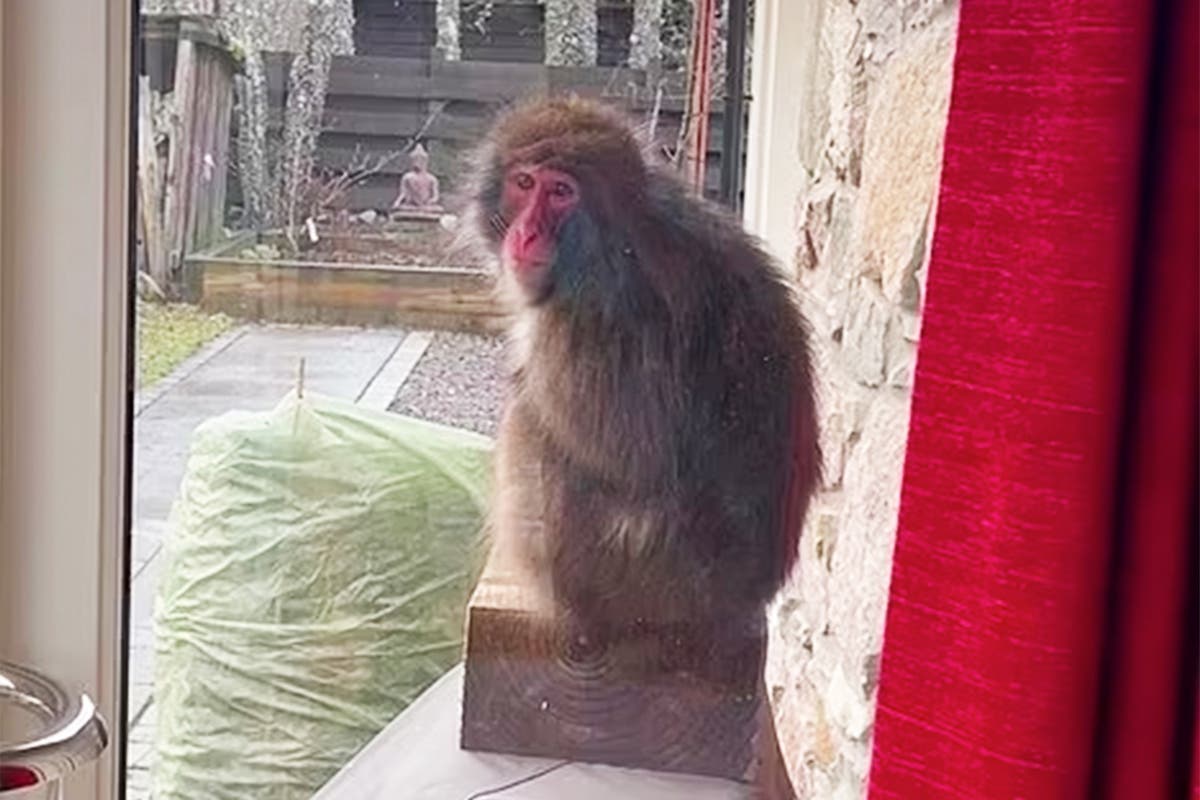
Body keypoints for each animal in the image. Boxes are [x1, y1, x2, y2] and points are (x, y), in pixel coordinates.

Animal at [469, 96, 820, 677]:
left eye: (561, 191)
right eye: (523, 183)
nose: (526, 233)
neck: (622, 232)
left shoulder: (590, 315)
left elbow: (627, 453)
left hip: (638, 573)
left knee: (537, 431)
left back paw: (576, 617)